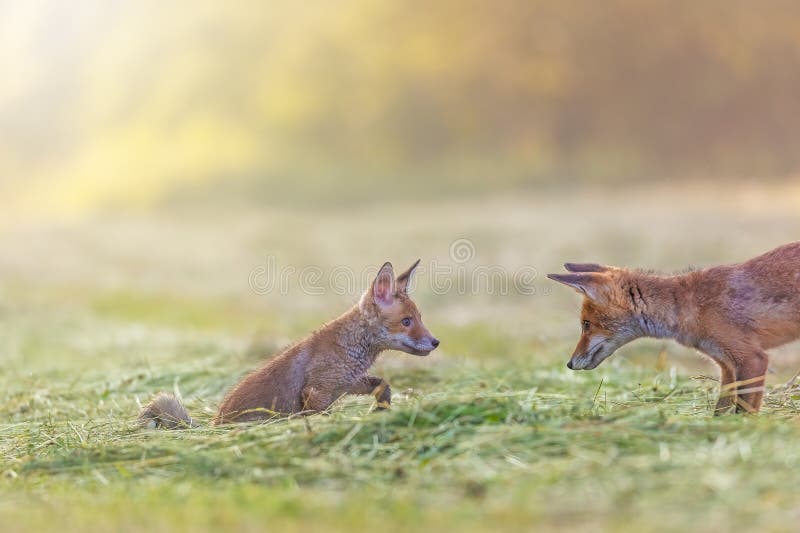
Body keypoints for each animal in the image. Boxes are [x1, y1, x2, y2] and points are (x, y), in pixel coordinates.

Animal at [139, 260, 440, 428]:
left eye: (419, 318)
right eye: (407, 322)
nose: (436, 342)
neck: (350, 347)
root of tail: (214, 426)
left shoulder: (347, 383)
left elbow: (383, 385)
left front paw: (382, 410)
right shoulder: (316, 392)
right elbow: (318, 417)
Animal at [548, 241, 800, 414]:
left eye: (586, 324)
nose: (569, 364)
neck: (686, 305)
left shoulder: (752, 359)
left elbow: (744, 411)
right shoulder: (727, 366)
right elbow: (721, 411)